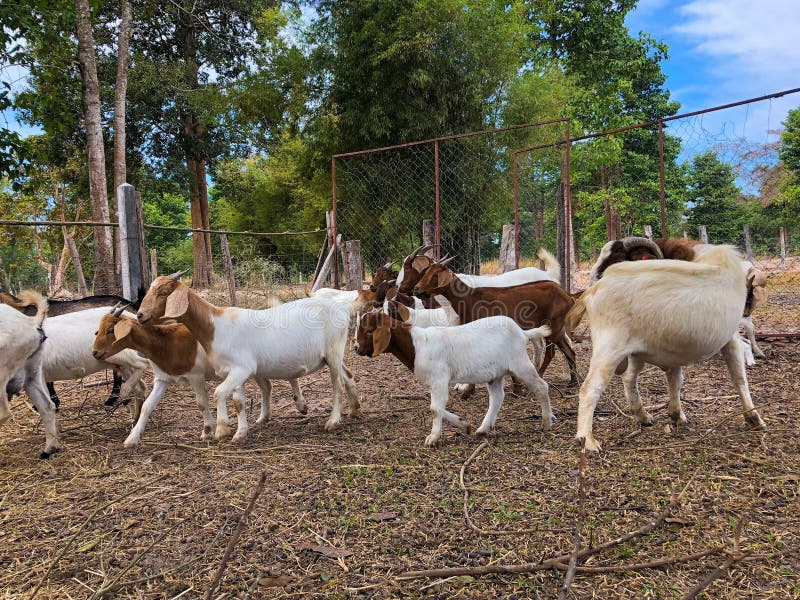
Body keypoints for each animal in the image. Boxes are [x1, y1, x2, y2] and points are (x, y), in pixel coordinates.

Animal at [92, 305, 307, 447]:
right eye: (98, 330)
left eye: (110, 330)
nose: (95, 352)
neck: (166, 343)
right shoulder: (162, 379)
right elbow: (147, 406)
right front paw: (132, 438)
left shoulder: (195, 376)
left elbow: (201, 403)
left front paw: (208, 431)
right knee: (266, 385)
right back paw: (265, 417)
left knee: (288, 375)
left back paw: (300, 404)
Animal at [137, 271, 362, 439]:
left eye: (163, 292)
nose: (140, 315)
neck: (214, 327)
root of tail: (343, 307)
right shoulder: (234, 372)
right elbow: (239, 402)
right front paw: (240, 433)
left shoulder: (241, 369)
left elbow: (218, 392)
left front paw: (222, 429)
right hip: (332, 355)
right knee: (348, 375)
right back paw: (354, 410)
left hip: (334, 350)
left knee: (337, 384)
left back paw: (333, 421)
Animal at [354, 309, 551, 445]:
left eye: (369, 330)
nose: (356, 348)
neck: (417, 345)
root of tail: (522, 333)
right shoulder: (435, 383)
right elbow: (437, 408)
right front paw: (464, 425)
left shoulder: (439, 379)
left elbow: (435, 408)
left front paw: (433, 438)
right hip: (495, 374)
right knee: (497, 398)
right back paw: (483, 429)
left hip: (521, 363)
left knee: (542, 387)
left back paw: (546, 421)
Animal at [412, 262, 579, 385]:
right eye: (425, 272)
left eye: (434, 275)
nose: (416, 289)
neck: (469, 298)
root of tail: (568, 296)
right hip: (556, 328)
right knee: (569, 350)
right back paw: (572, 381)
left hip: (553, 325)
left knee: (554, 352)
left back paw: (542, 375)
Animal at [567, 245, 766, 452]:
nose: (747, 311)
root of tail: (594, 289)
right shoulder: (731, 339)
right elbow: (739, 378)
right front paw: (754, 418)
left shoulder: (674, 351)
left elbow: (675, 380)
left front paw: (676, 414)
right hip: (609, 350)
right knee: (590, 388)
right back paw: (587, 439)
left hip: (634, 352)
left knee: (629, 378)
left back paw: (643, 416)